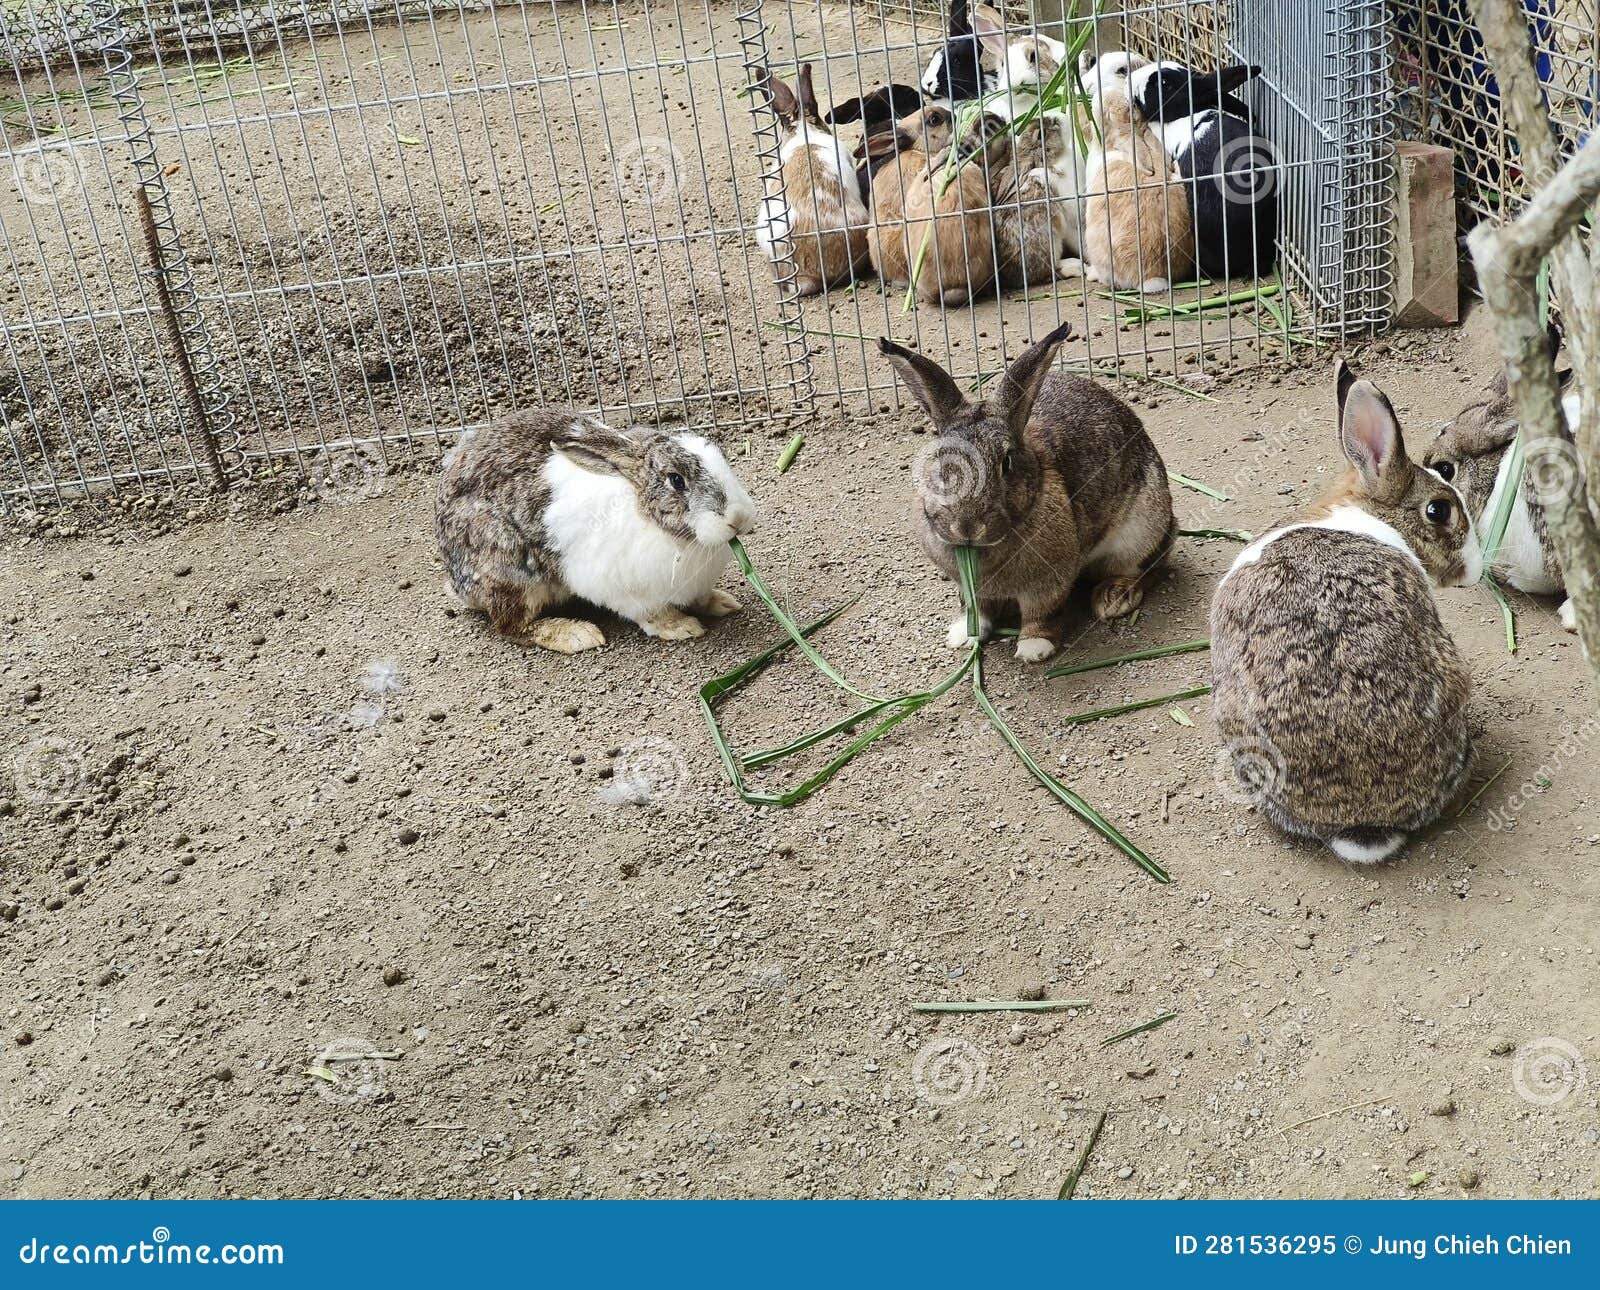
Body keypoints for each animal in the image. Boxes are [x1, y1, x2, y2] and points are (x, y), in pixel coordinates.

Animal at [436, 409, 757, 654]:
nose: (738, 518)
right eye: (676, 480)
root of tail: (457, 584)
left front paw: (723, 602)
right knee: (511, 626)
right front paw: (682, 627)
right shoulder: (624, 589)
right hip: (512, 575)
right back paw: (577, 635)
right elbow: (652, 614)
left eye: (722, 457)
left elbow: (702, 597)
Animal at [879, 321, 1176, 663]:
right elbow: (977, 610)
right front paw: (964, 635)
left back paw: (1113, 597)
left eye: (1006, 462)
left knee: (1149, 565)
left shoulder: (1047, 584)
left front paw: (1034, 649)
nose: (967, 527)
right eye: (940, 462)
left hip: (1141, 529)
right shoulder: (971, 588)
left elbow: (1040, 614)